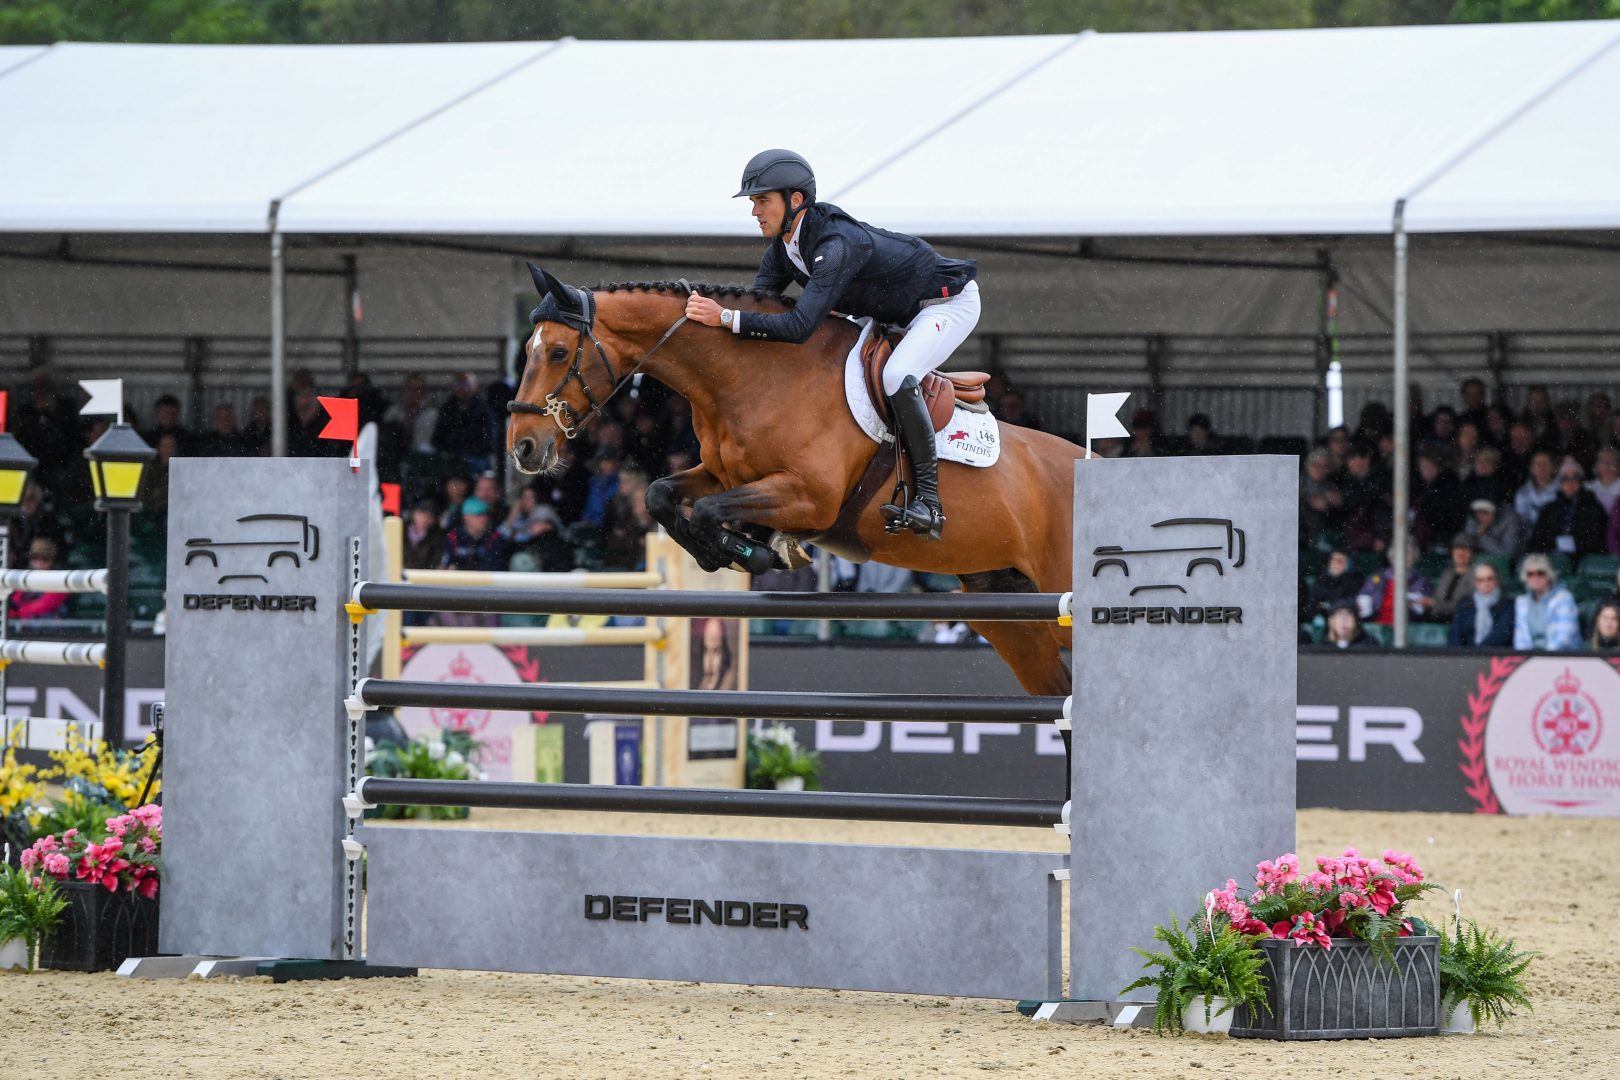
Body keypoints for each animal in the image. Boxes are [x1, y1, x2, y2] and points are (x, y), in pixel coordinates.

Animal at [506, 266, 1087, 698]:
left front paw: (756, 552)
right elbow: (661, 495)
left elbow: (712, 510)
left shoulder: (811, 498)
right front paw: (731, 553)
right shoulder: (722, 474)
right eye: (528, 349)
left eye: (557, 352)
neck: (750, 378)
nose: (521, 446)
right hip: (1009, 615)